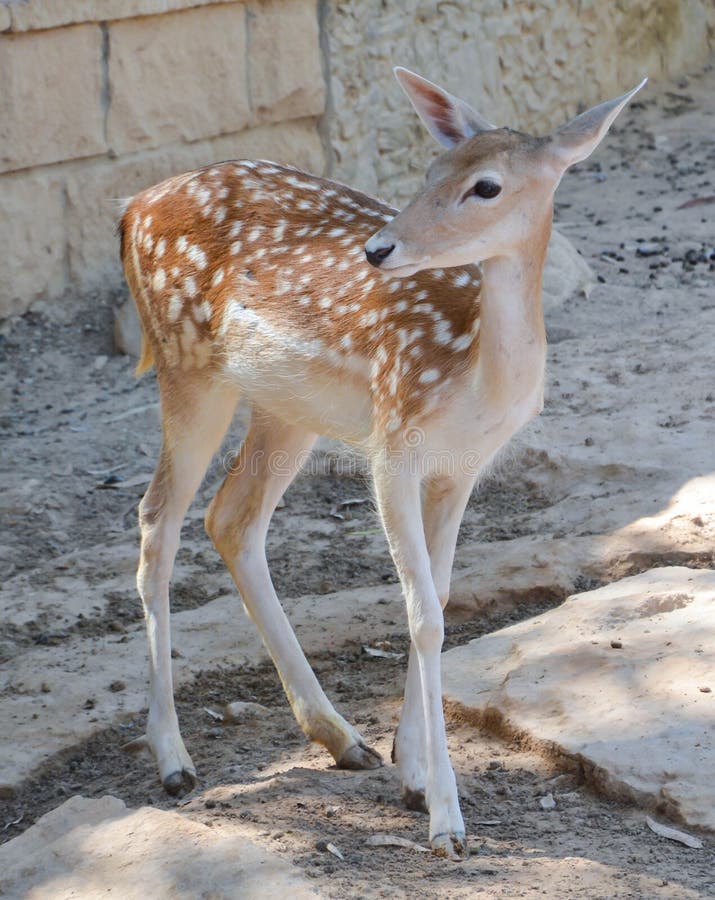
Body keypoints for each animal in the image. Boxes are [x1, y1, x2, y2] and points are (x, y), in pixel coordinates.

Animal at [119, 67, 645, 859]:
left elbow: (441, 597)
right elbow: (421, 613)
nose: (379, 249)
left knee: (230, 518)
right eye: (429, 169)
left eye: (485, 185)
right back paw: (174, 760)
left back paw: (341, 738)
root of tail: (131, 209)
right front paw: (446, 820)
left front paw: (411, 773)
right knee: (158, 518)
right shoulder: (392, 446)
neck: (473, 382)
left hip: (284, 406)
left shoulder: (462, 468)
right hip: (188, 367)